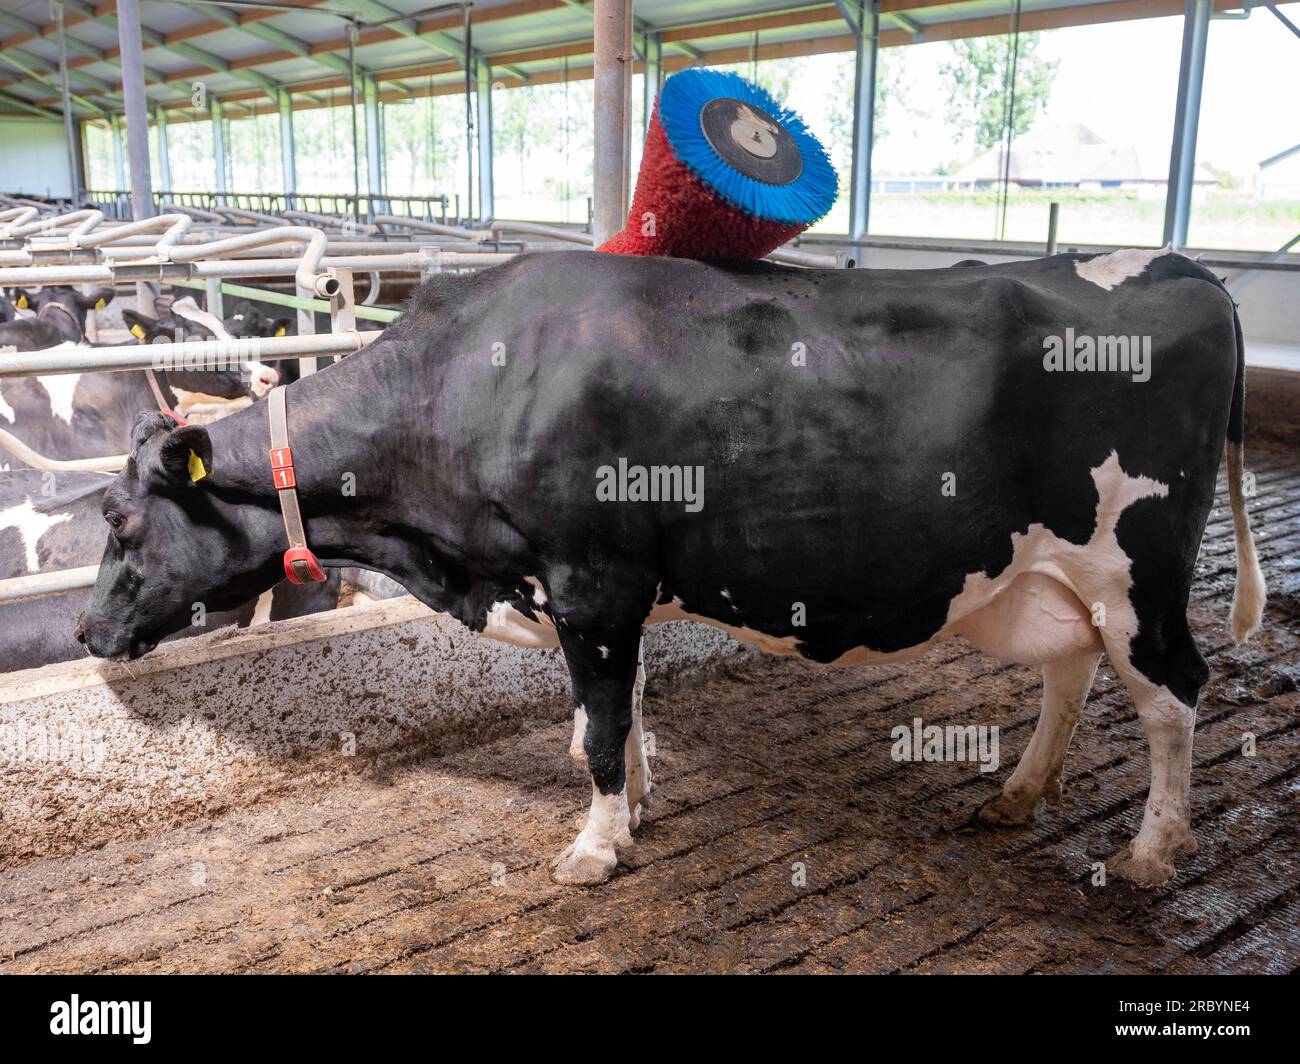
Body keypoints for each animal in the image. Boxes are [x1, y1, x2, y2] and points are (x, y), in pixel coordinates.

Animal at [73, 247, 1265, 889]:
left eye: (120, 518)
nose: (84, 632)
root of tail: (1184, 267)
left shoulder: (592, 574)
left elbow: (597, 724)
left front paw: (597, 844)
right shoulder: (605, 586)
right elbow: (615, 710)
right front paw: (639, 802)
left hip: (1139, 565)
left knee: (1173, 696)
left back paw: (1153, 851)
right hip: (1053, 574)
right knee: (1074, 670)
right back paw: (1018, 794)